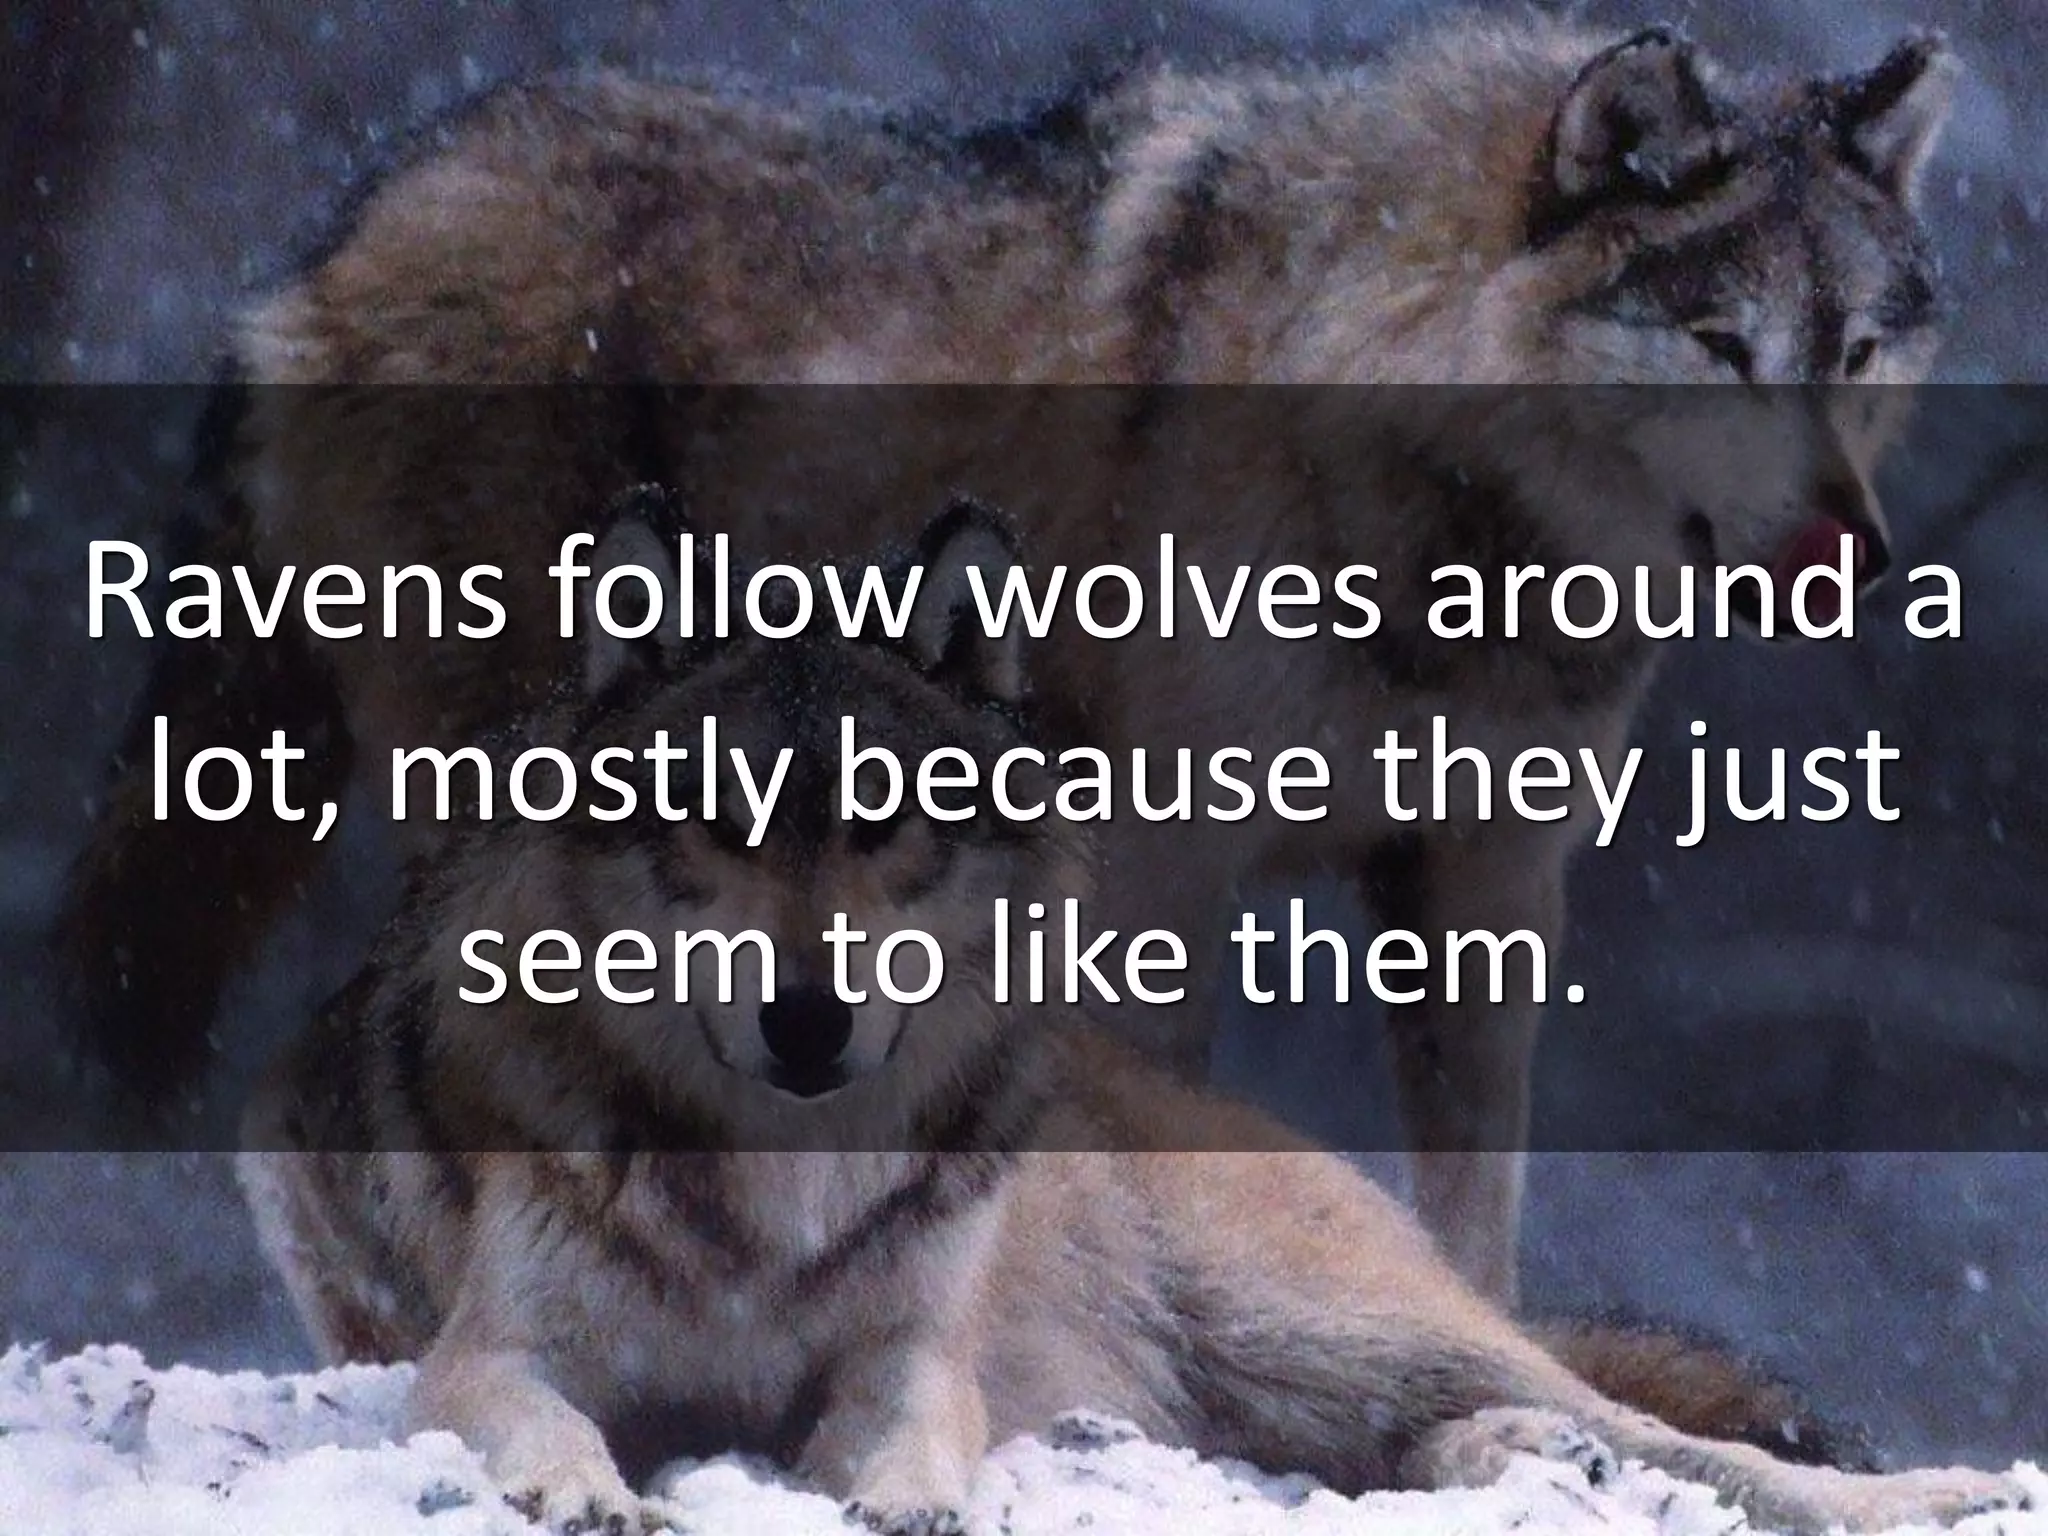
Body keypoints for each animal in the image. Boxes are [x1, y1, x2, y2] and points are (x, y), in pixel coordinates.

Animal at [68, 12, 1958, 1304]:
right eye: (1721, 345)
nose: (1849, 555)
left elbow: (1473, 1212)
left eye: (1855, 350)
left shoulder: (1481, 880)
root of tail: (325, 242)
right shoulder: (1164, 876)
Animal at [235, 496, 2022, 1536]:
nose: (809, 1025)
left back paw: (1929, 1489)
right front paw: (582, 1489)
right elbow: (530, 1416)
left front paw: (913, 1508)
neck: (774, 1194)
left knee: (1674, 1432)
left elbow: (914, 1434)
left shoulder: (914, 1359)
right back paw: (1523, 1465)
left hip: (1315, 1324)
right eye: (721, 828)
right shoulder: (485, 1352)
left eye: (887, 828)